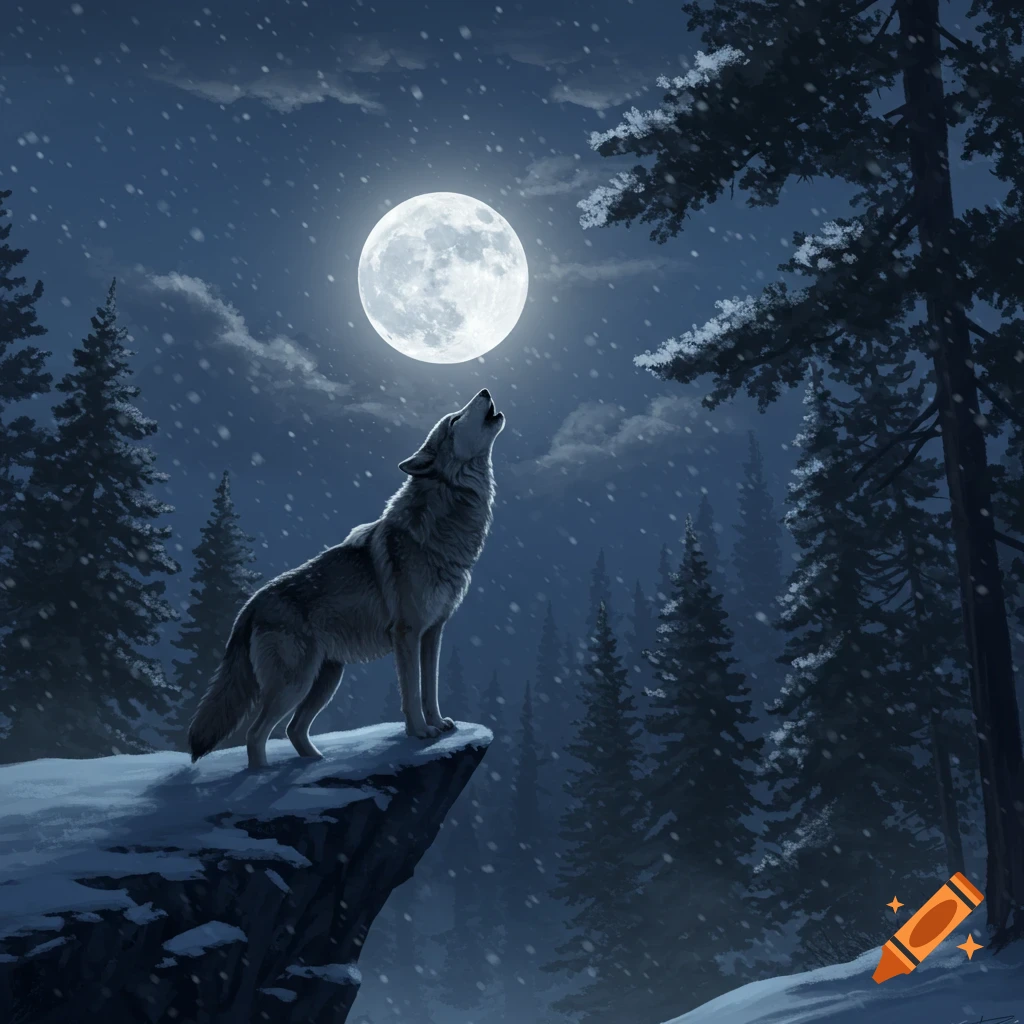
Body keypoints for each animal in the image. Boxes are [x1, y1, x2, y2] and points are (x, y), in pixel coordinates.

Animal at [188, 388, 504, 770]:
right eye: (456, 419)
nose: (484, 391)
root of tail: (248, 606)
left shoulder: (433, 632)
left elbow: (430, 687)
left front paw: (438, 724)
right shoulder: (407, 633)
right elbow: (412, 691)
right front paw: (419, 733)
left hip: (326, 679)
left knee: (293, 730)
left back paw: (317, 763)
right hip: (296, 684)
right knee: (255, 734)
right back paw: (262, 775)